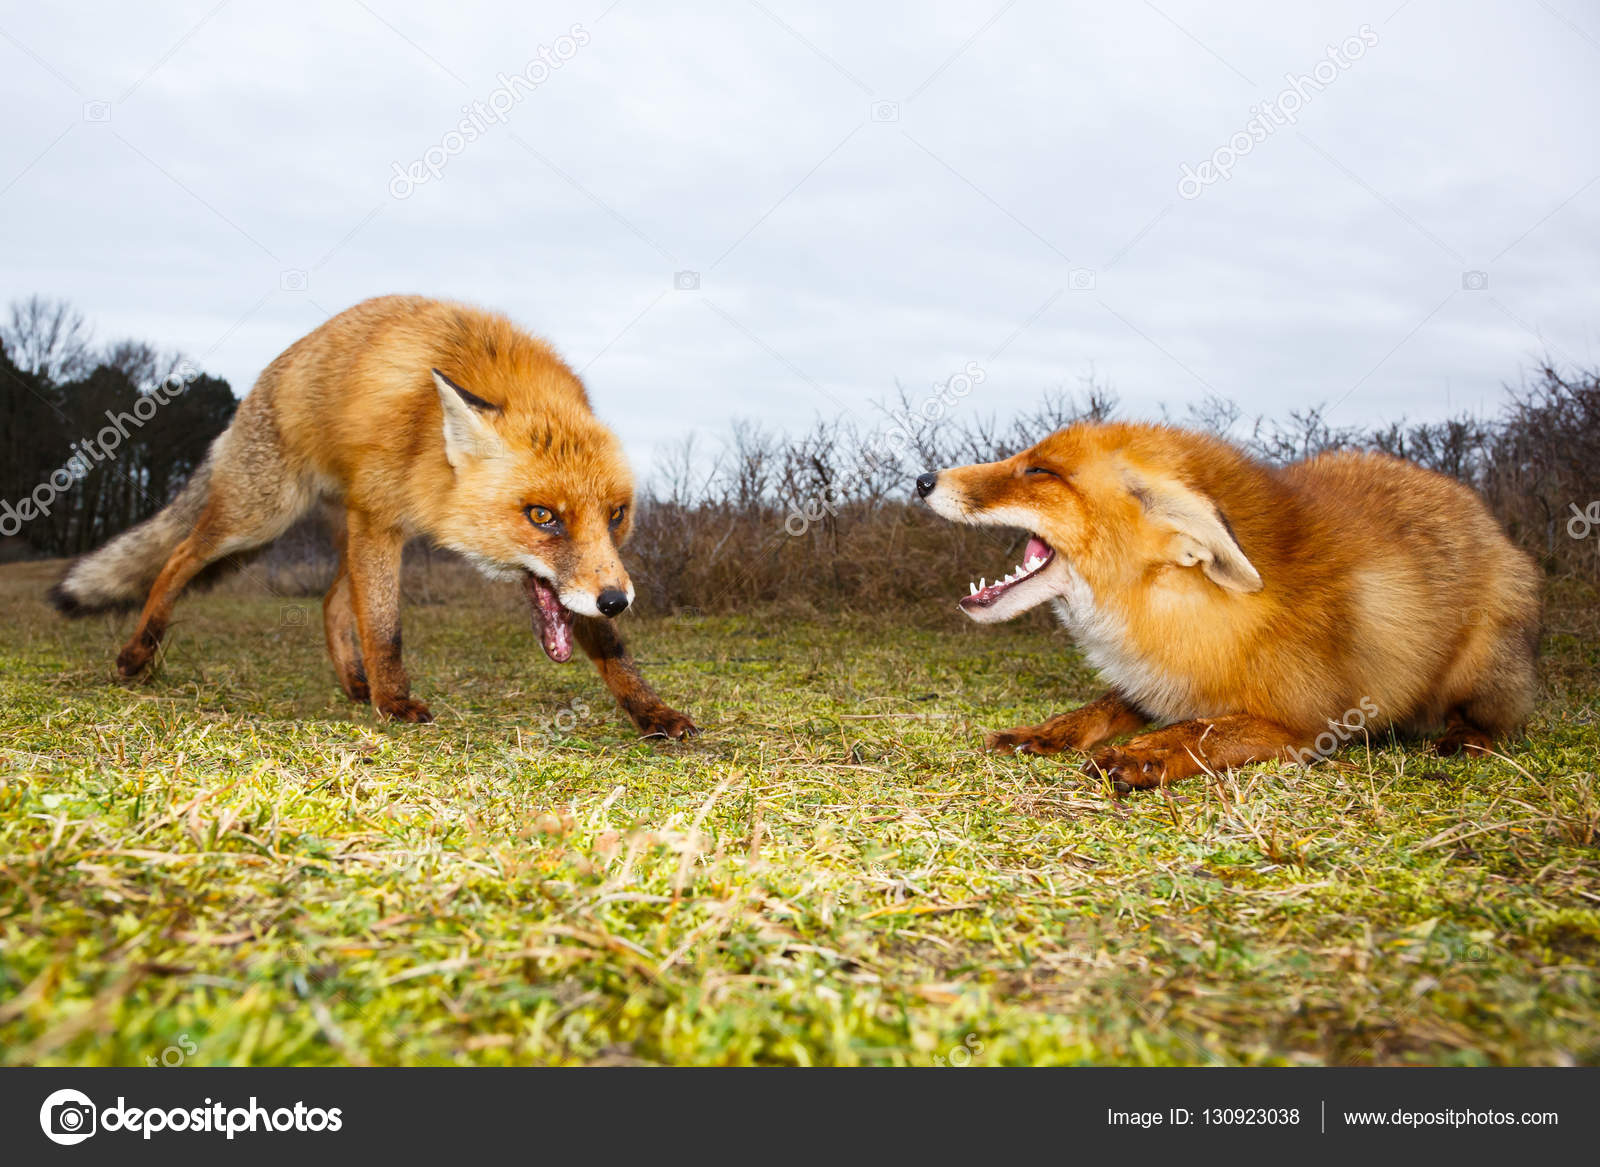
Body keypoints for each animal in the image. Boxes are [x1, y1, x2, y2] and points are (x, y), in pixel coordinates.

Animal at [49, 294, 696, 739]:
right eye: (543, 516)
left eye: (615, 515)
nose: (616, 600)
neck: (428, 444)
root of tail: (262, 382)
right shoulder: (382, 521)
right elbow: (385, 627)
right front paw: (396, 701)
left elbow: (612, 651)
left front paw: (650, 710)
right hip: (264, 515)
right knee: (180, 557)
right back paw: (138, 653)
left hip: (338, 527)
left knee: (331, 601)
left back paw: (353, 684)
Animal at [915, 422, 1540, 789]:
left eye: (1040, 470)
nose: (923, 478)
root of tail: (1475, 506)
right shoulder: (1159, 681)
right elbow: (1104, 706)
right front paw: (1046, 733)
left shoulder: (1308, 723)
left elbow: (1206, 731)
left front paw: (1142, 754)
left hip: (1480, 663)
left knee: (1497, 719)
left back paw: (1465, 739)